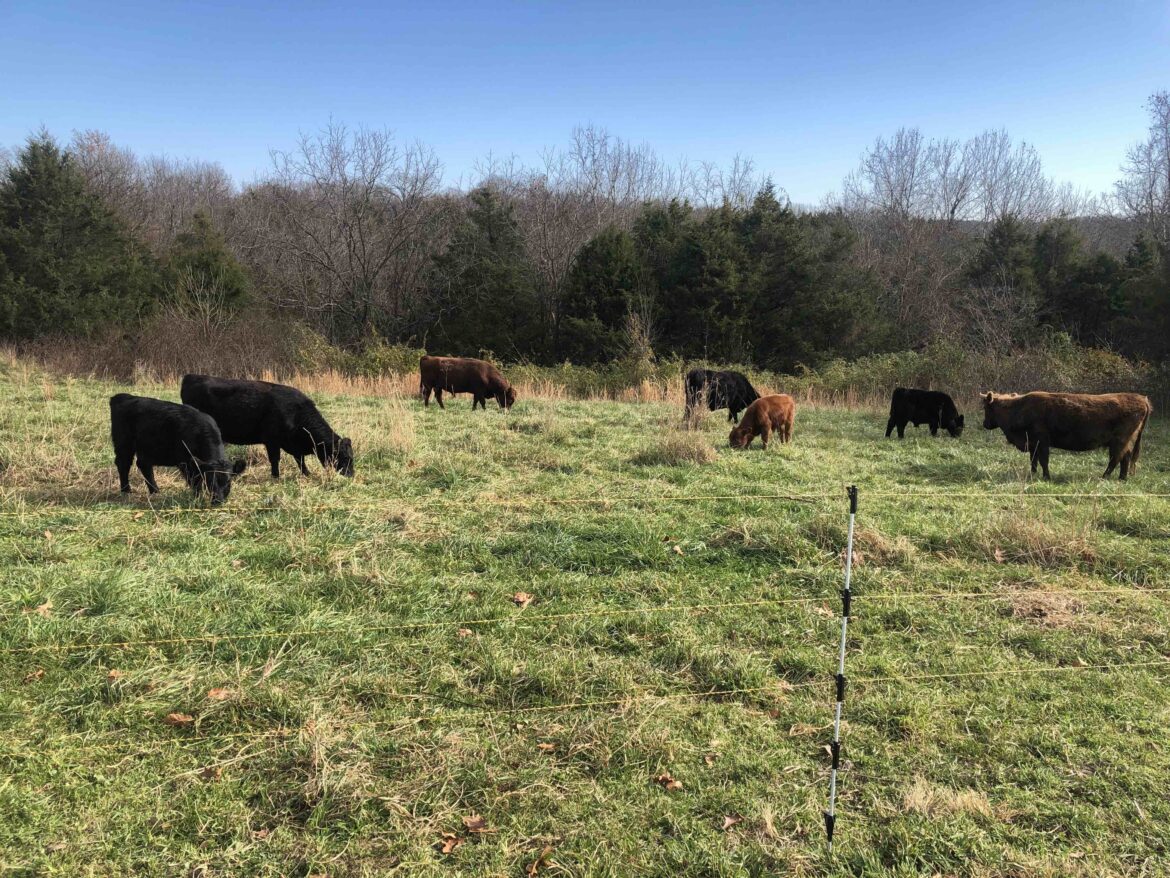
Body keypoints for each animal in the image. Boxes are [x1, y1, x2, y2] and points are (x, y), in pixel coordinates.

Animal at [110, 394, 246, 504]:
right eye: (210, 481)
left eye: (228, 482)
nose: (218, 500)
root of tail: (122, 396)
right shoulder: (186, 463)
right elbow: (195, 482)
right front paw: (197, 499)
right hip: (123, 442)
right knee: (123, 464)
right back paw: (126, 490)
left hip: (146, 446)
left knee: (143, 465)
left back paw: (155, 491)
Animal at [180, 375, 354, 479]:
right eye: (346, 458)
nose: (351, 474)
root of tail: (191, 376)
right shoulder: (272, 440)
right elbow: (275, 459)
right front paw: (276, 477)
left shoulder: (293, 444)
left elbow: (300, 460)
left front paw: (307, 474)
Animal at [981, 391, 1152, 480]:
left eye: (986, 408)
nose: (984, 424)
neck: (1020, 409)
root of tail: (1141, 398)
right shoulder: (1033, 443)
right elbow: (1033, 460)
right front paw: (1033, 474)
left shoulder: (1042, 440)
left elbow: (1043, 460)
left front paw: (1047, 477)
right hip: (1125, 441)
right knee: (1125, 457)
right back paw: (1122, 478)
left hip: (1119, 440)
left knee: (1115, 459)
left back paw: (1104, 477)